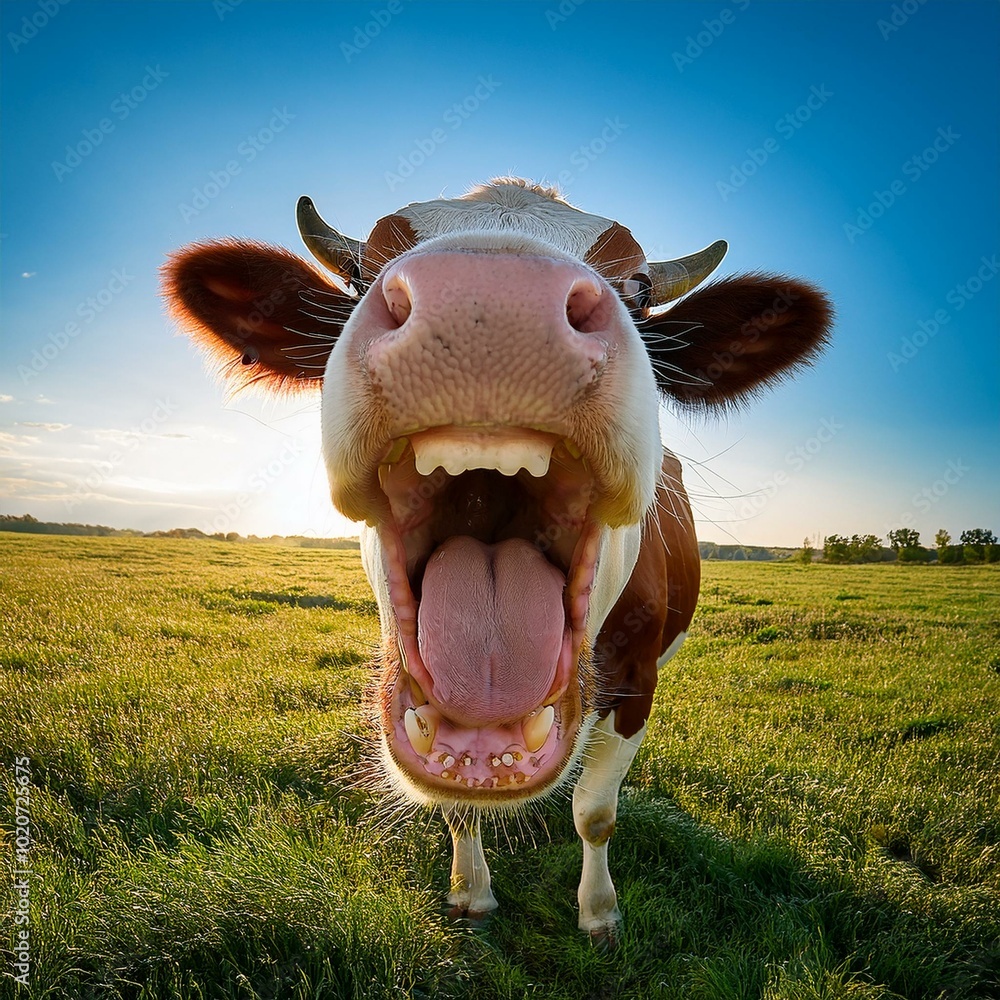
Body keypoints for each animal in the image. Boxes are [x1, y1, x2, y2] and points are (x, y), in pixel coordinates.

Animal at [163, 177, 831, 943]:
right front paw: (471, 893)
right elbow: (461, 807)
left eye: (638, 292)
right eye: (358, 275)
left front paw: (599, 912)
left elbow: (596, 812)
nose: (492, 299)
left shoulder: (638, 683)